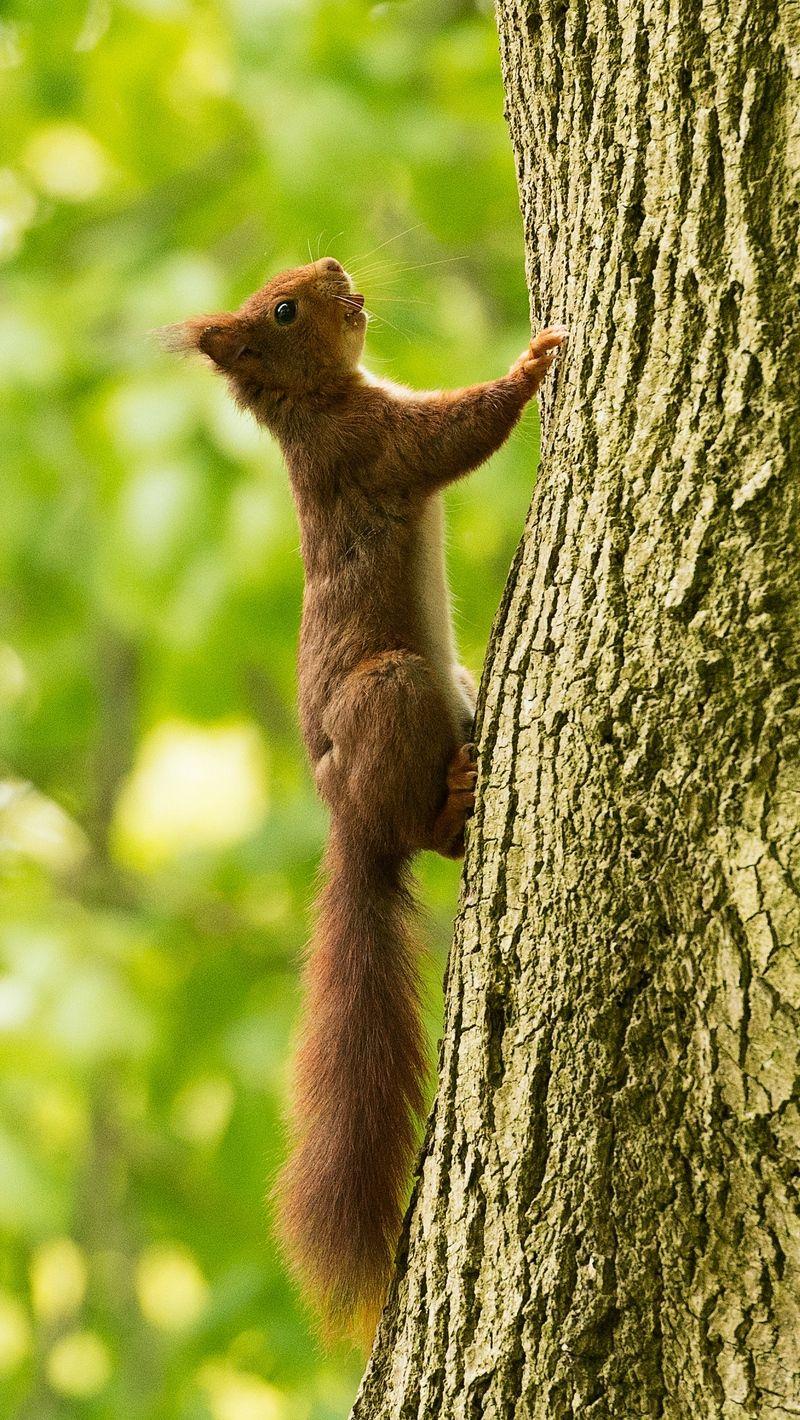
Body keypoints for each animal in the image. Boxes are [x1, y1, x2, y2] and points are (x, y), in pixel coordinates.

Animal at [164, 257, 566, 1339]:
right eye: (282, 309)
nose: (336, 269)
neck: (317, 406)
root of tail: (347, 820)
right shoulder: (376, 447)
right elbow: (456, 435)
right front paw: (531, 362)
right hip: (395, 689)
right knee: (421, 834)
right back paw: (452, 802)